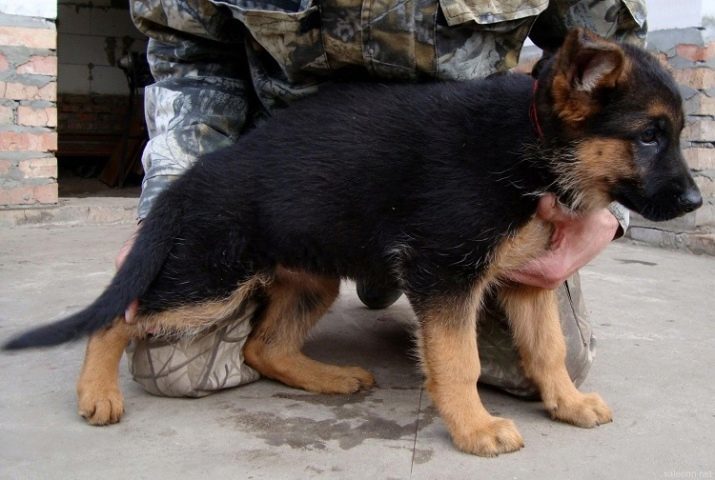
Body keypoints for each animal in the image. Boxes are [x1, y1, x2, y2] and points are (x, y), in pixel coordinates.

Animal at [2, 28, 704, 456]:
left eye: (671, 134)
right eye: (649, 135)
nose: (697, 204)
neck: (529, 139)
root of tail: (190, 180)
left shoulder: (527, 278)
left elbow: (549, 349)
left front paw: (566, 403)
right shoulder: (445, 272)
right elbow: (459, 360)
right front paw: (475, 427)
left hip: (306, 276)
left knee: (261, 345)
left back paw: (327, 377)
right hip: (208, 279)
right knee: (122, 317)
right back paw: (98, 391)